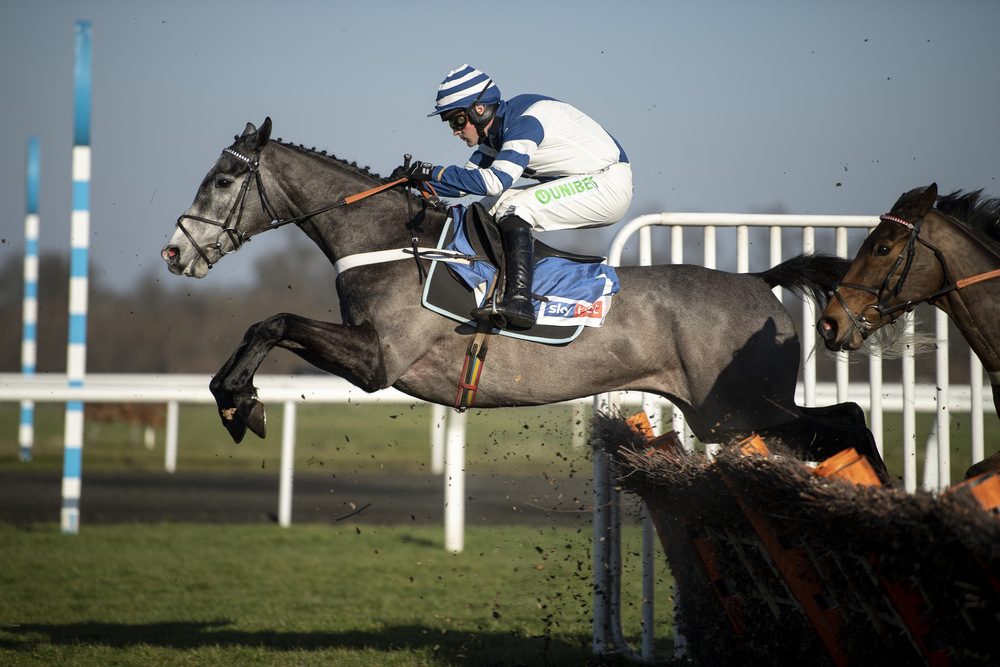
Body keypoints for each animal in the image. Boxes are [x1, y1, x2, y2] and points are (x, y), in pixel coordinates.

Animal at [161, 118, 888, 481]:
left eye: (221, 179)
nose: (174, 252)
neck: (388, 240)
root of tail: (759, 280)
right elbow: (265, 327)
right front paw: (234, 399)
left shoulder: (378, 361)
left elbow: (273, 320)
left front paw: (240, 403)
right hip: (727, 414)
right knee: (844, 418)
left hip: (736, 408)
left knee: (850, 417)